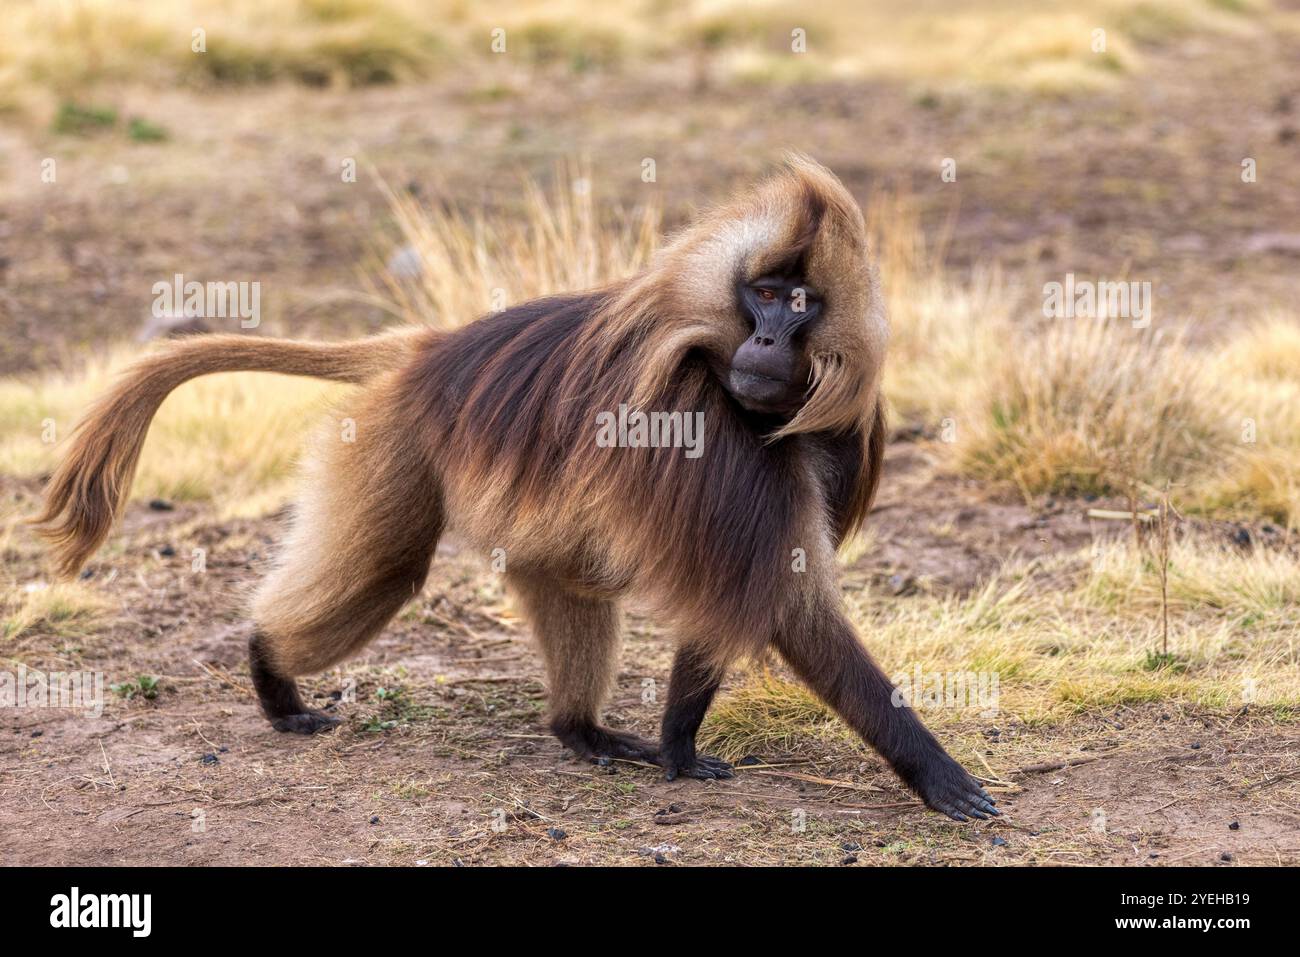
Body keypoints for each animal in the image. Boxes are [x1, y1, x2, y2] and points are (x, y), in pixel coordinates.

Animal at [33, 156, 997, 821]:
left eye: (798, 304)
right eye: (759, 293)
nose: (762, 343)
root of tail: (428, 347)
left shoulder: (828, 433)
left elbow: (737, 593)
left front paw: (676, 743)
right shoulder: (708, 425)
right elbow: (781, 601)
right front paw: (934, 769)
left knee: (564, 580)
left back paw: (582, 732)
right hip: (395, 444)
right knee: (388, 569)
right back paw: (271, 674)